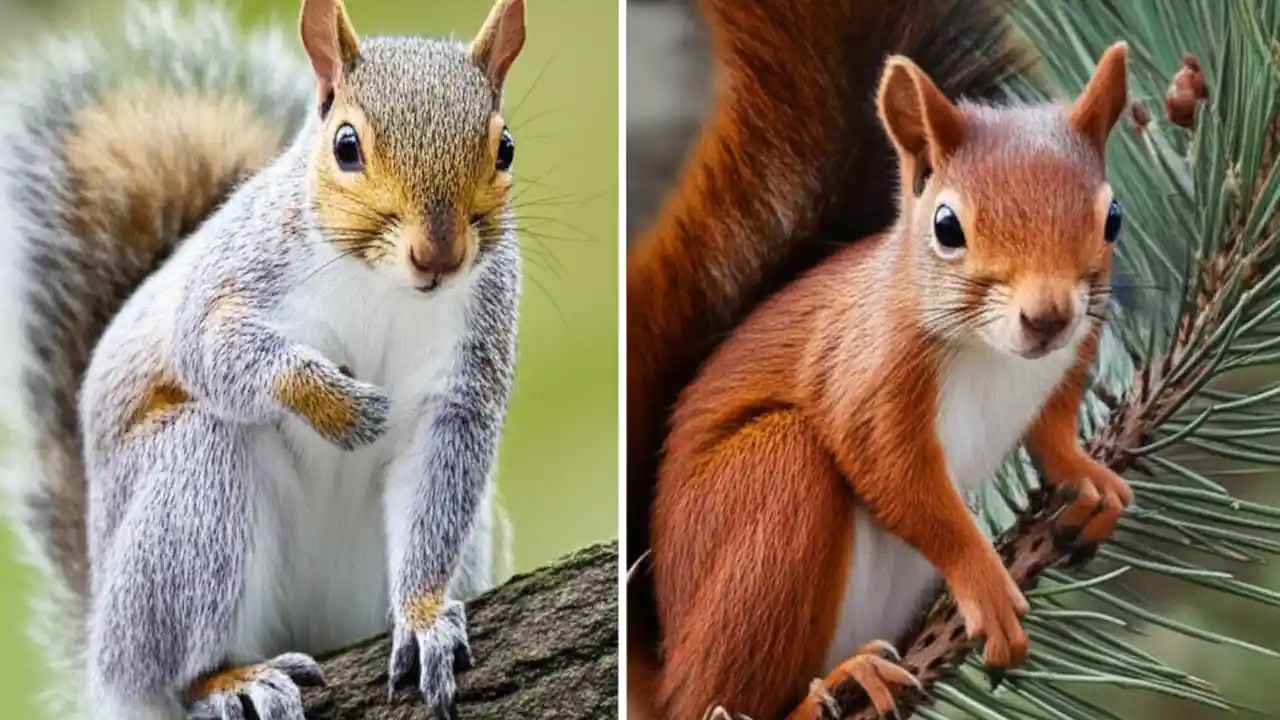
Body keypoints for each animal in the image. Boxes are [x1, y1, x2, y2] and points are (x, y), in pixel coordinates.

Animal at [0, 1, 526, 718]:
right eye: (346, 146)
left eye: (505, 149)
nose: (438, 256)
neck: (382, 283)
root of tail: (103, 662)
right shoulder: (240, 270)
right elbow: (208, 346)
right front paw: (336, 406)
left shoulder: (465, 375)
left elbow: (438, 493)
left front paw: (424, 619)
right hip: (190, 503)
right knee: (173, 672)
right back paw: (229, 681)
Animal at [627, 1, 1135, 718]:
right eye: (947, 226)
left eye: (1112, 216)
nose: (1047, 317)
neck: (997, 355)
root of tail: (668, 660)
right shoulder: (869, 371)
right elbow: (901, 480)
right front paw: (986, 586)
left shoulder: (1077, 343)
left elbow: (1054, 429)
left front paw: (1089, 481)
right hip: (771, 489)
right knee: (715, 702)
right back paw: (837, 687)